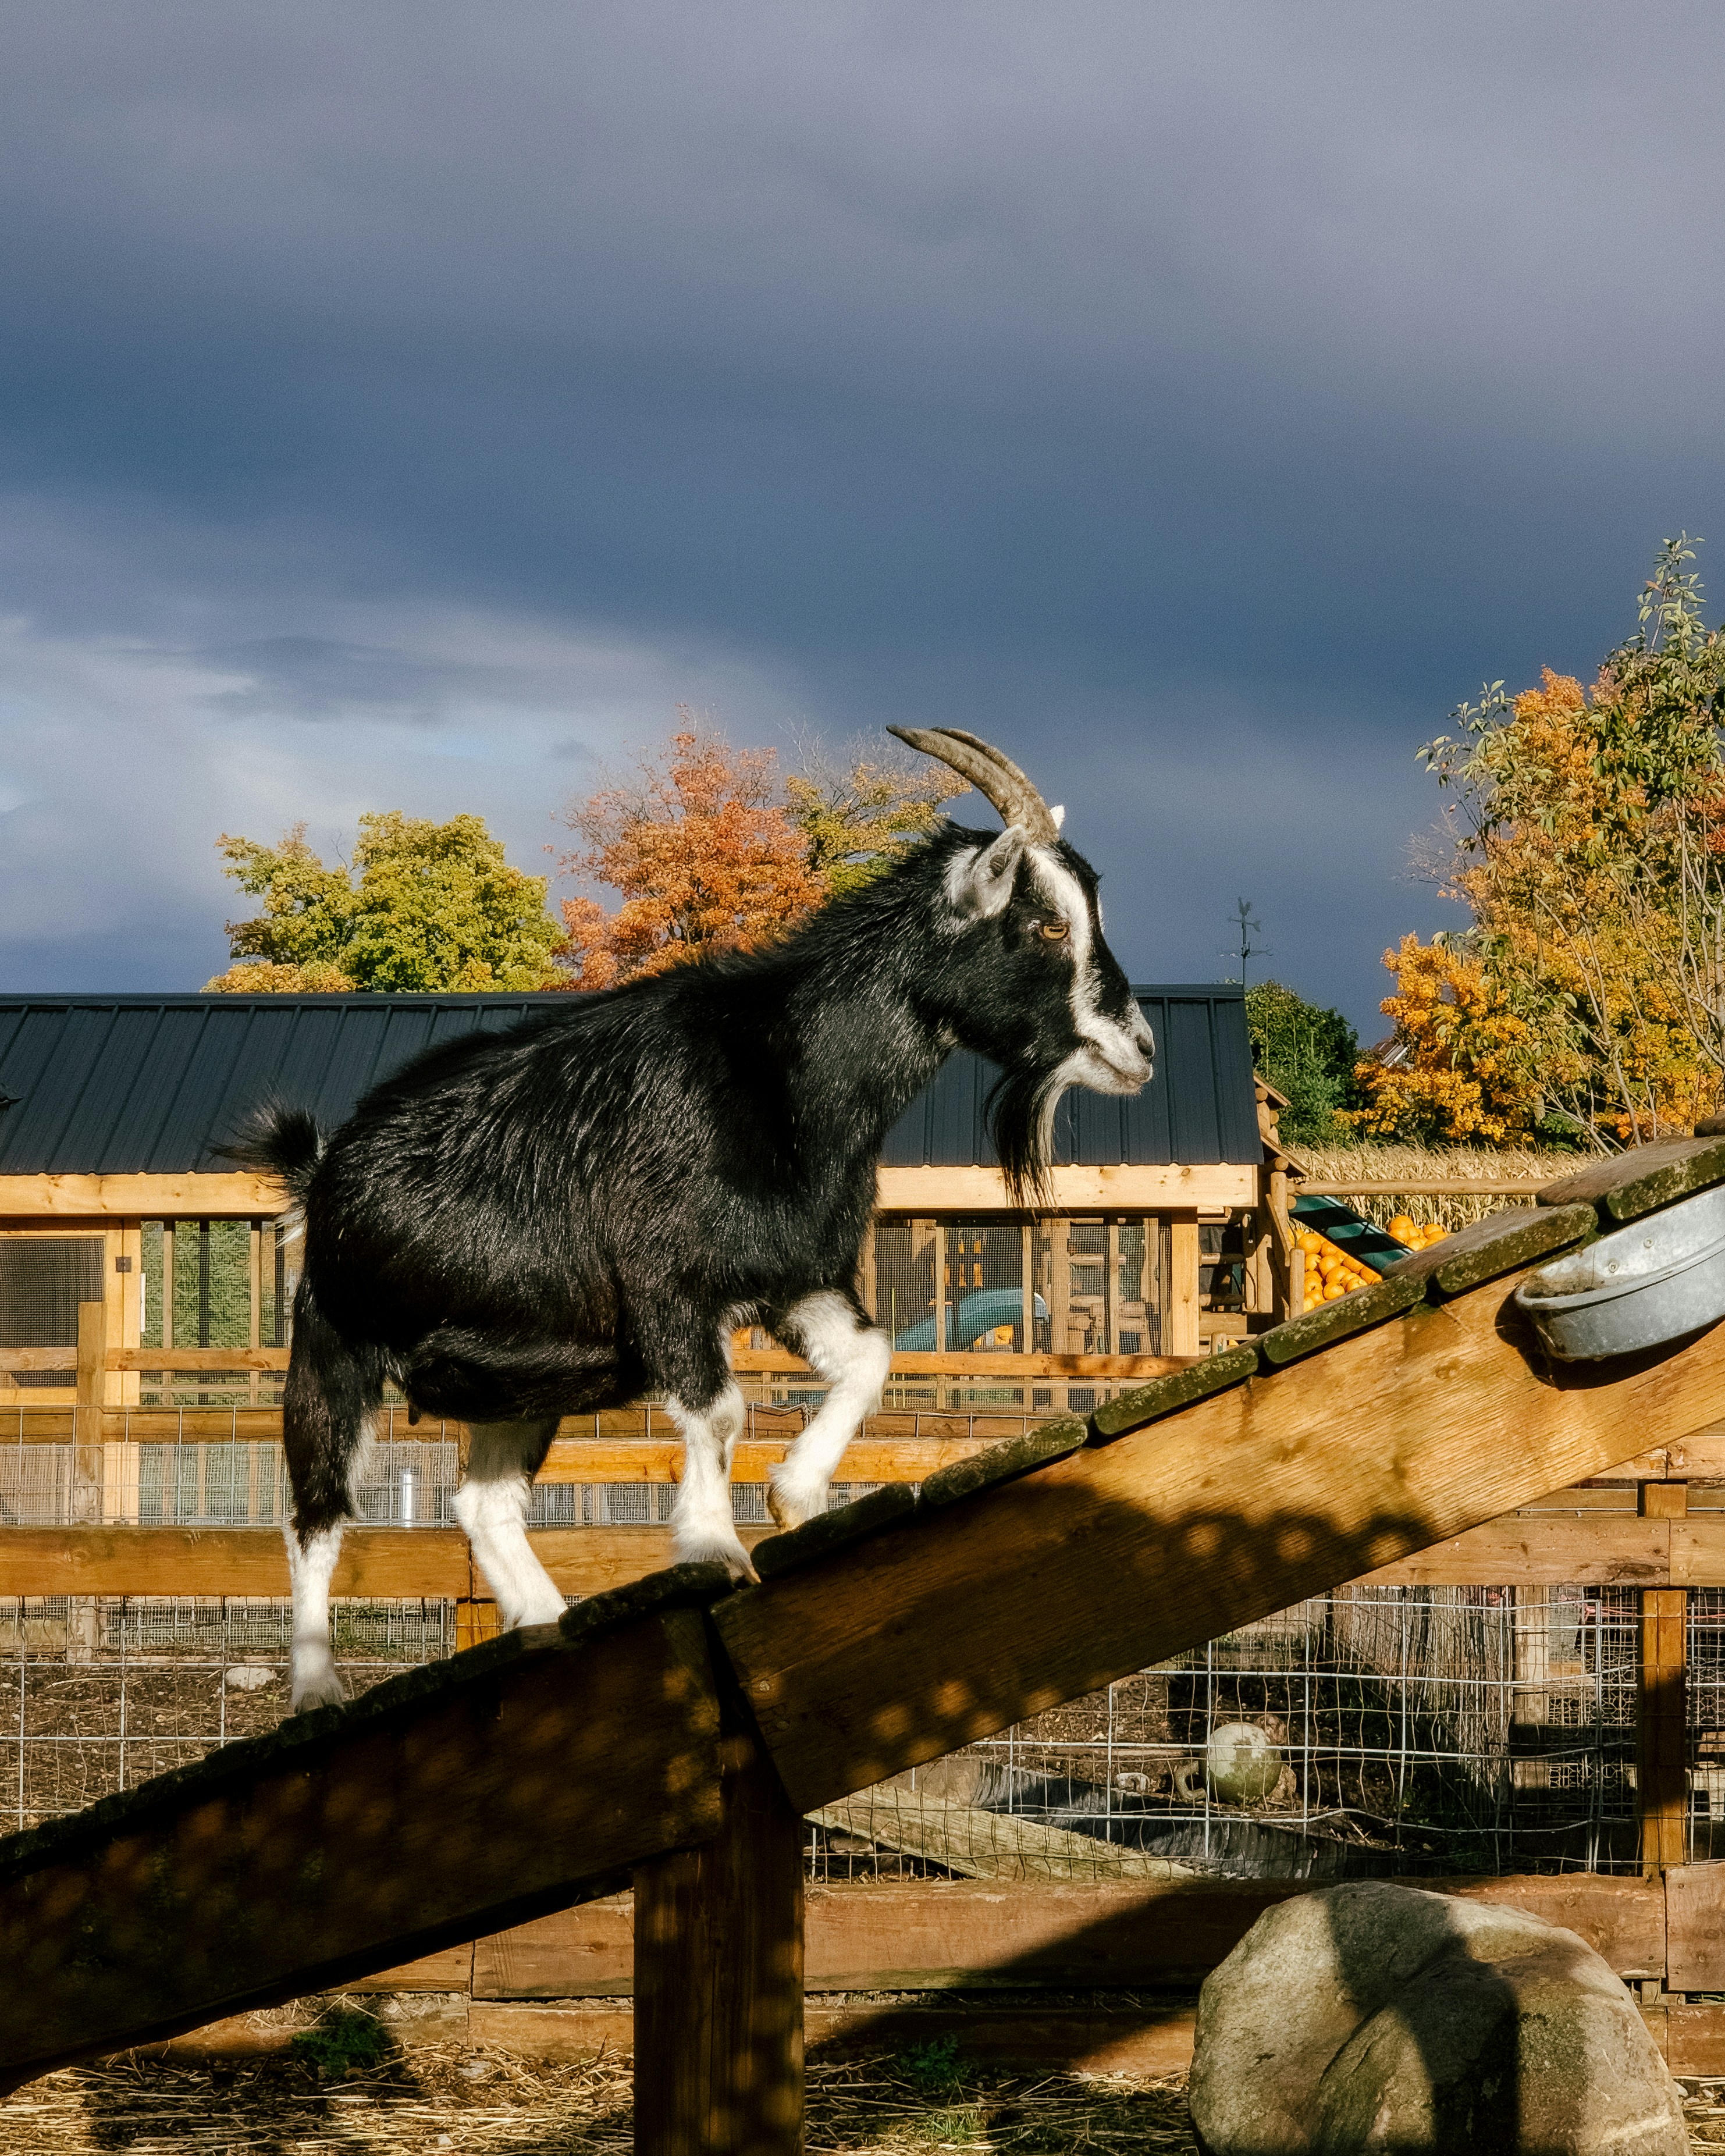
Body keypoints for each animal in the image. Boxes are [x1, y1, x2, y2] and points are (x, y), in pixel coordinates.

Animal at [232, 730, 1155, 1711]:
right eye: (1046, 923)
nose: (1140, 1048)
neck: (781, 1074)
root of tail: (323, 1169)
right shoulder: (665, 1286)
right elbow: (718, 1411)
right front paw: (714, 1546)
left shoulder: (794, 1278)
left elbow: (871, 1358)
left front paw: (796, 1494)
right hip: (333, 1345)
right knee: (316, 1514)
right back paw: (318, 1685)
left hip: (522, 1383)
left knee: (484, 1502)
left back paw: (547, 1623)